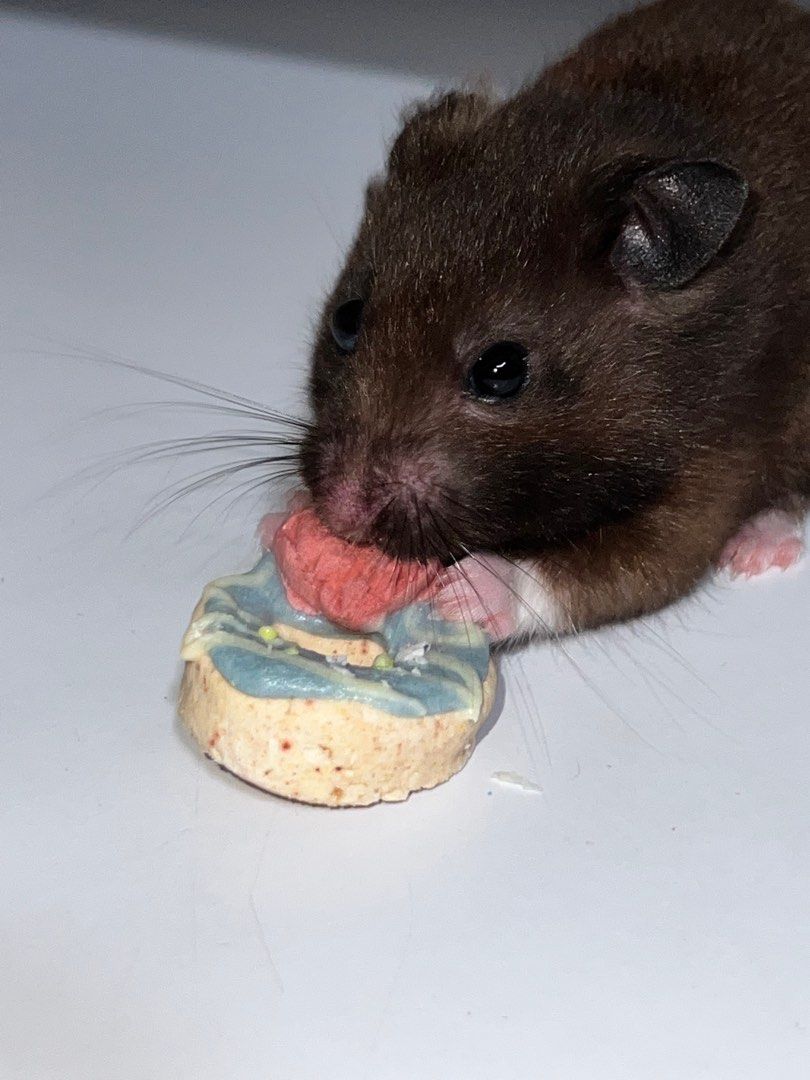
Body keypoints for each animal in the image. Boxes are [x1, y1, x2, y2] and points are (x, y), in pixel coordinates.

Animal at [298, 0, 810, 642]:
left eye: (500, 371)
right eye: (346, 321)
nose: (341, 517)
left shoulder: (715, 463)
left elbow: (618, 568)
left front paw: (456, 592)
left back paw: (756, 548)